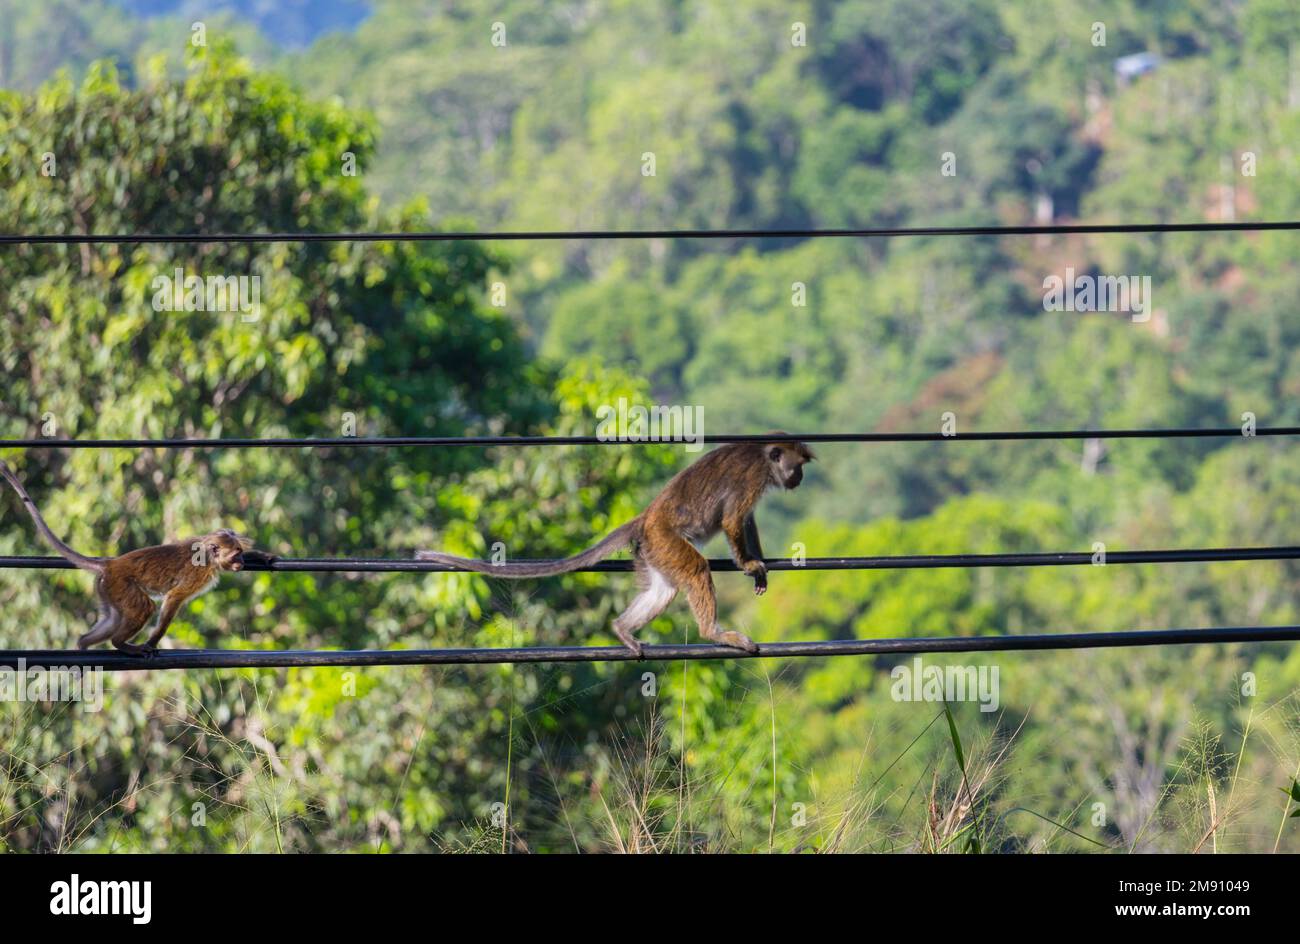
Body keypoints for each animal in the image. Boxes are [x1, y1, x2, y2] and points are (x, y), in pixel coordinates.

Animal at [0, 458, 274, 656]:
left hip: (107, 588)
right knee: (144, 607)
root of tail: (111, 564)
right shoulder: (198, 573)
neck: (208, 554)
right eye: (235, 555)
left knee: (113, 617)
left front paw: (263, 557)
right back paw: (120, 643)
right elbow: (174, 598)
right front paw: (152, 642)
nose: (241, 562)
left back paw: (84, 643)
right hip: (122, 584)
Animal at [417, 437, 815, 656]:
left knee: (663, 589)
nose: (800, 477)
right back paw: (712, 634)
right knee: (696, 569)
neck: (763, 456)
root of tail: (647, 517)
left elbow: (745, 519)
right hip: (665, 538)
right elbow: (734, 519)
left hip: (655, 550)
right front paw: (749, 564)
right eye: (796, 465)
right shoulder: (752, 477)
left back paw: (622, 629)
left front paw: (757, 564)